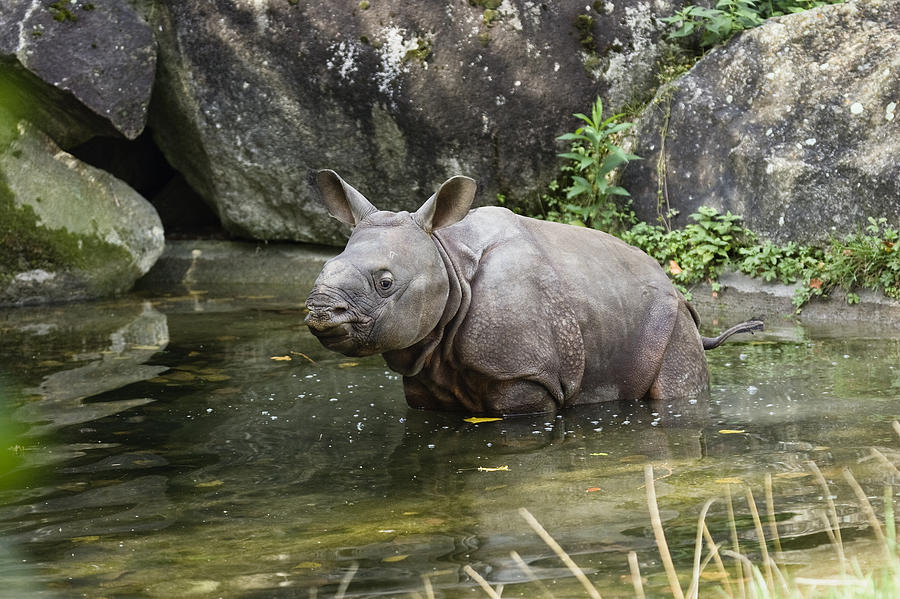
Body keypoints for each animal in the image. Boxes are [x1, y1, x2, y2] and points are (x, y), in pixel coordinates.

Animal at [305, 170, 762, 415]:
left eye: (385, 283)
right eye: (323, 268)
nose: (320, 311)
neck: (447, 258)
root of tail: (675, 287)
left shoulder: (524, 374)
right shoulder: (423, 376)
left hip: (673, 320)